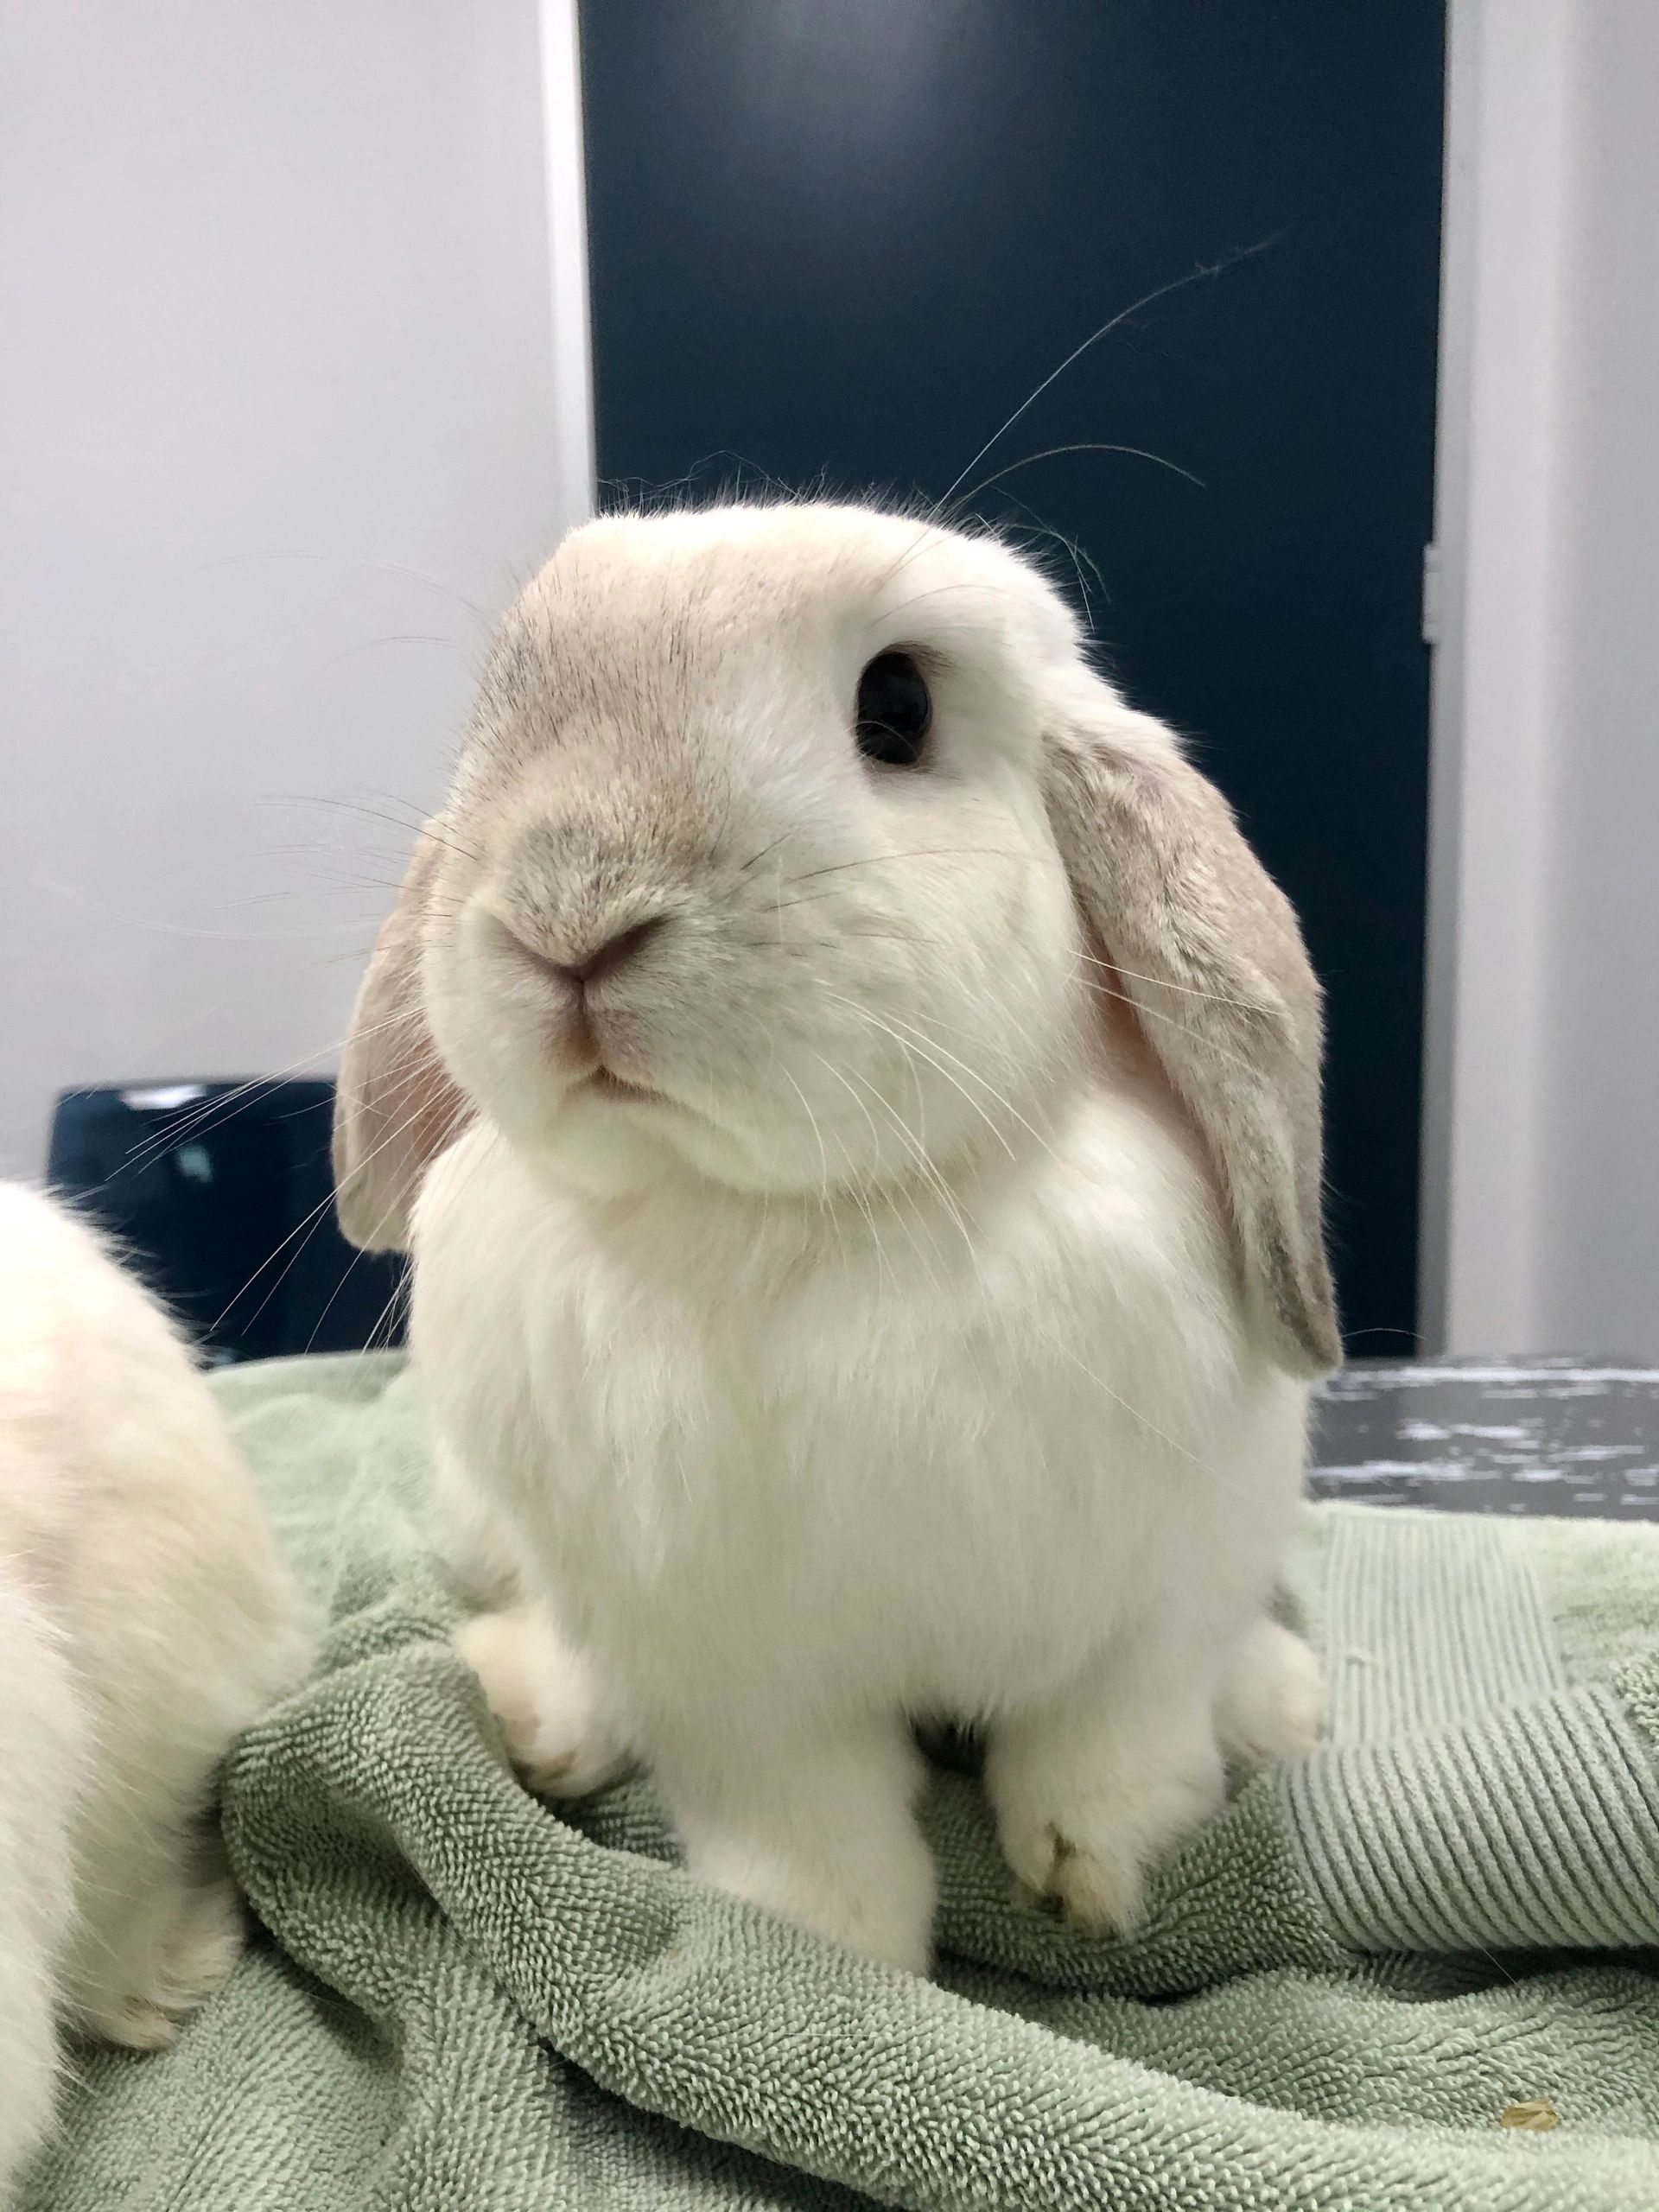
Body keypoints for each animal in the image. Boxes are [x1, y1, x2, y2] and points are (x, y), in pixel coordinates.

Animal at [333, 501, 1337, 1975]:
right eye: (497, 709)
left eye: (898, 707)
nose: (568, 917)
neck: (805, 1219)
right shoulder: (727, 1674)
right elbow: (803, 1821)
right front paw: (829, 1953)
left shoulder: (1161, 1592)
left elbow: (1113, 1745)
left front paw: (1101, 1877)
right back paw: (537, 1717)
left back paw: (1279, 1707)